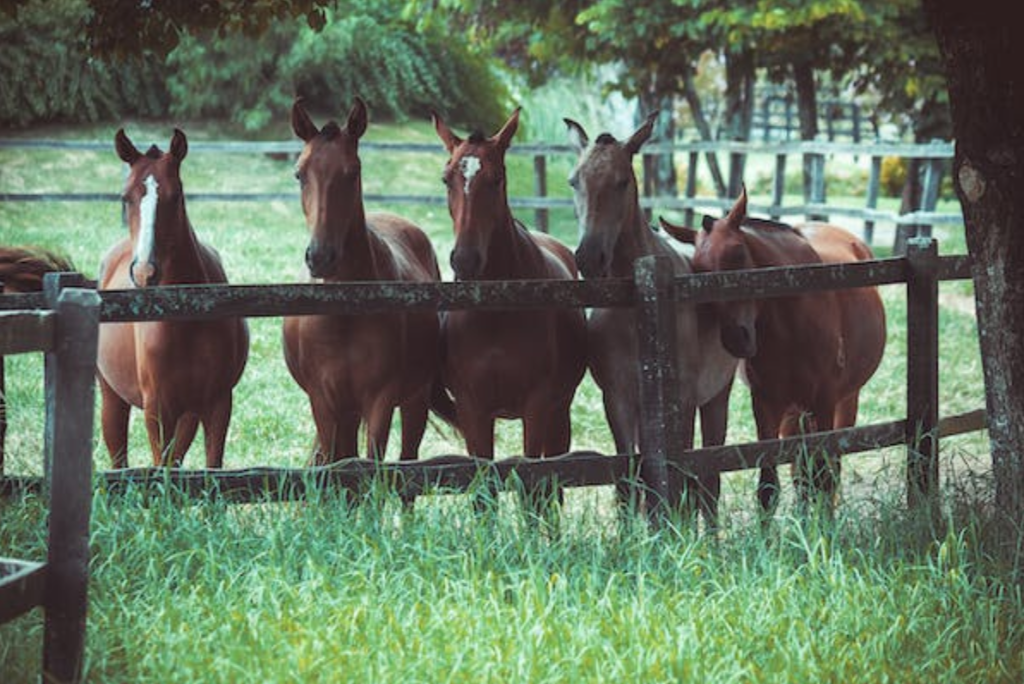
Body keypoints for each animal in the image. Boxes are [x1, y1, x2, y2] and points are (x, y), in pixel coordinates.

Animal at [97, 128, 250, 469]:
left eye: (176, 196)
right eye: (125, 197)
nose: (144, 272)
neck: (186, 316)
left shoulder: (217, 404)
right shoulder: (157, 409)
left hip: (188, 414)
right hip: (112, 399)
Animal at [284, 98, 450, 465]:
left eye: (352, 172)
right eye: (300, 174)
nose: (321, 256)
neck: (344, 313)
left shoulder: (380, 400)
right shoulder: (324, 402)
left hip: (414, 400)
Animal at [432, 107, 587, 477]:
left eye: (497, 178)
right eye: (446, 179)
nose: (465, 259)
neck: (496, 309)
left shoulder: (538, 404)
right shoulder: (472, 410)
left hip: (560, 411)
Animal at [564, 115, 738, 526]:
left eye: (622, 181)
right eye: (574, 181)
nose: (589, 258)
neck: (634, 308)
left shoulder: (684, 400)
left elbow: (684, 481)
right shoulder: (618, 399)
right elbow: (630, 479)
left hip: (717, 396)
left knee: (710, 479)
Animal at [660, 187, 887, 516]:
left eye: (738, 254)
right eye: (698, 270)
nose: (736, 339)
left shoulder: (824, 401)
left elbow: (823, 477)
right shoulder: (767, 405)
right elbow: (769, 488)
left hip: (845, 401)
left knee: (828, 470)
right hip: (795, 412)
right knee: (801, 473)